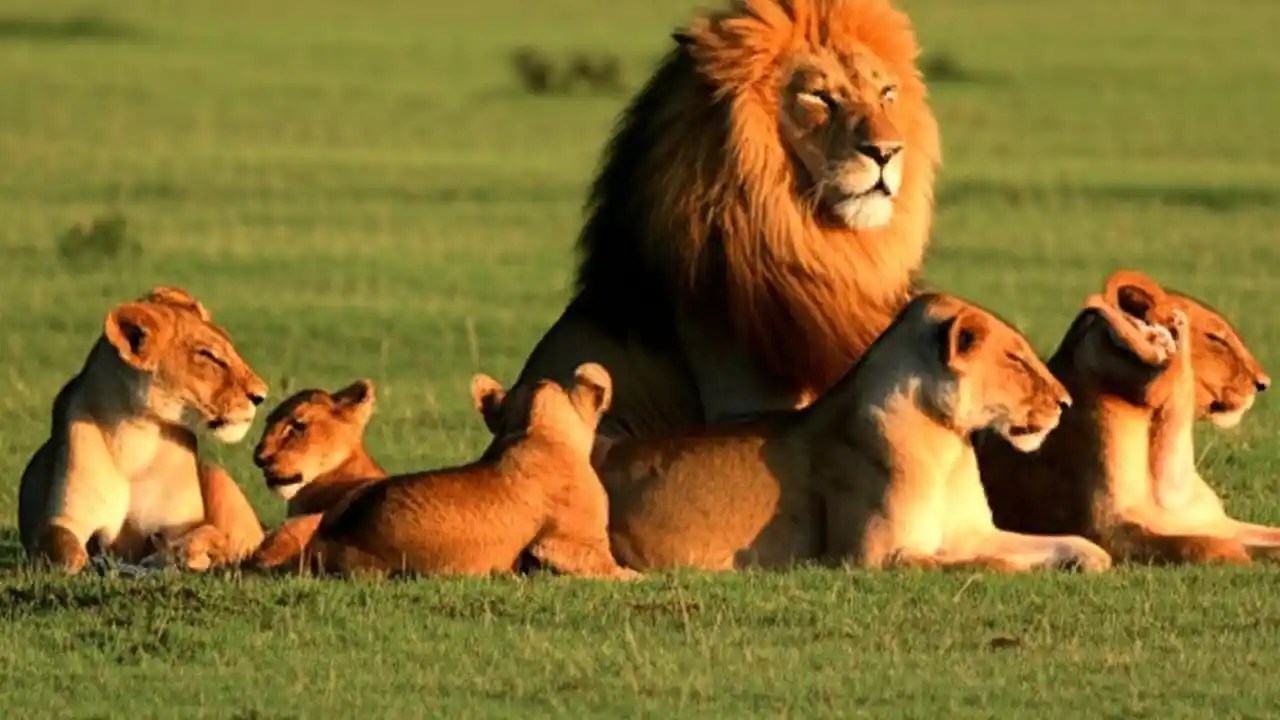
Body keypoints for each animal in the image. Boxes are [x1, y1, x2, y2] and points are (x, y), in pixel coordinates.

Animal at [17, 286, 268, 573]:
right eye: (208, 356)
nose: (261, 396)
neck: (136, 435)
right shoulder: (66, 518)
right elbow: (65, 548)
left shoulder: (181, 524)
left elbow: (208, 535)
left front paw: (169, 558)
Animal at [598, 293, 1110, 573]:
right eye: (1017, 359)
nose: (1066, 402)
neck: (947, 446)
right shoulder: (868, 556)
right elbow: (981, 563)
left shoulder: (973, 531)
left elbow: (1060, 541)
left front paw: (1092, 557)